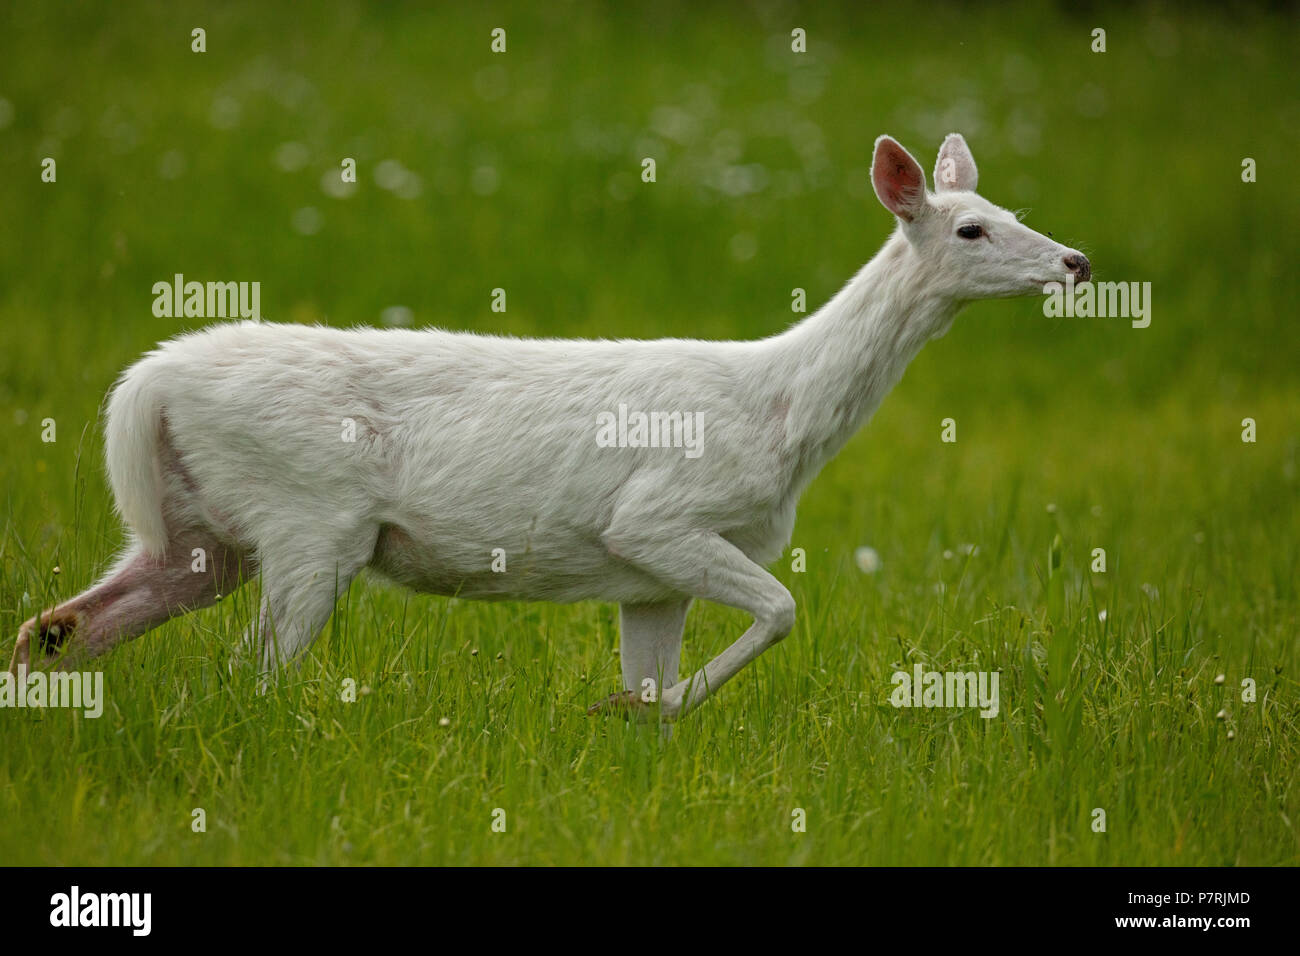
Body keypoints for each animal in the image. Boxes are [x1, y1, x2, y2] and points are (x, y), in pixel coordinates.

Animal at [10, 134, 1089, 723]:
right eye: (971, 229)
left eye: (1007, 209)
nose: (1076, 261)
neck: (783, 419)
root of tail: (145, 384)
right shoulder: (658, 515)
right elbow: (783, 607)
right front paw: (620, 707)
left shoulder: (649, 579)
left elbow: (661, 682)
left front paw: (636, 717)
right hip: (308, 515)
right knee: (252, 672)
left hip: (198, 531)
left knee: (66, 623)